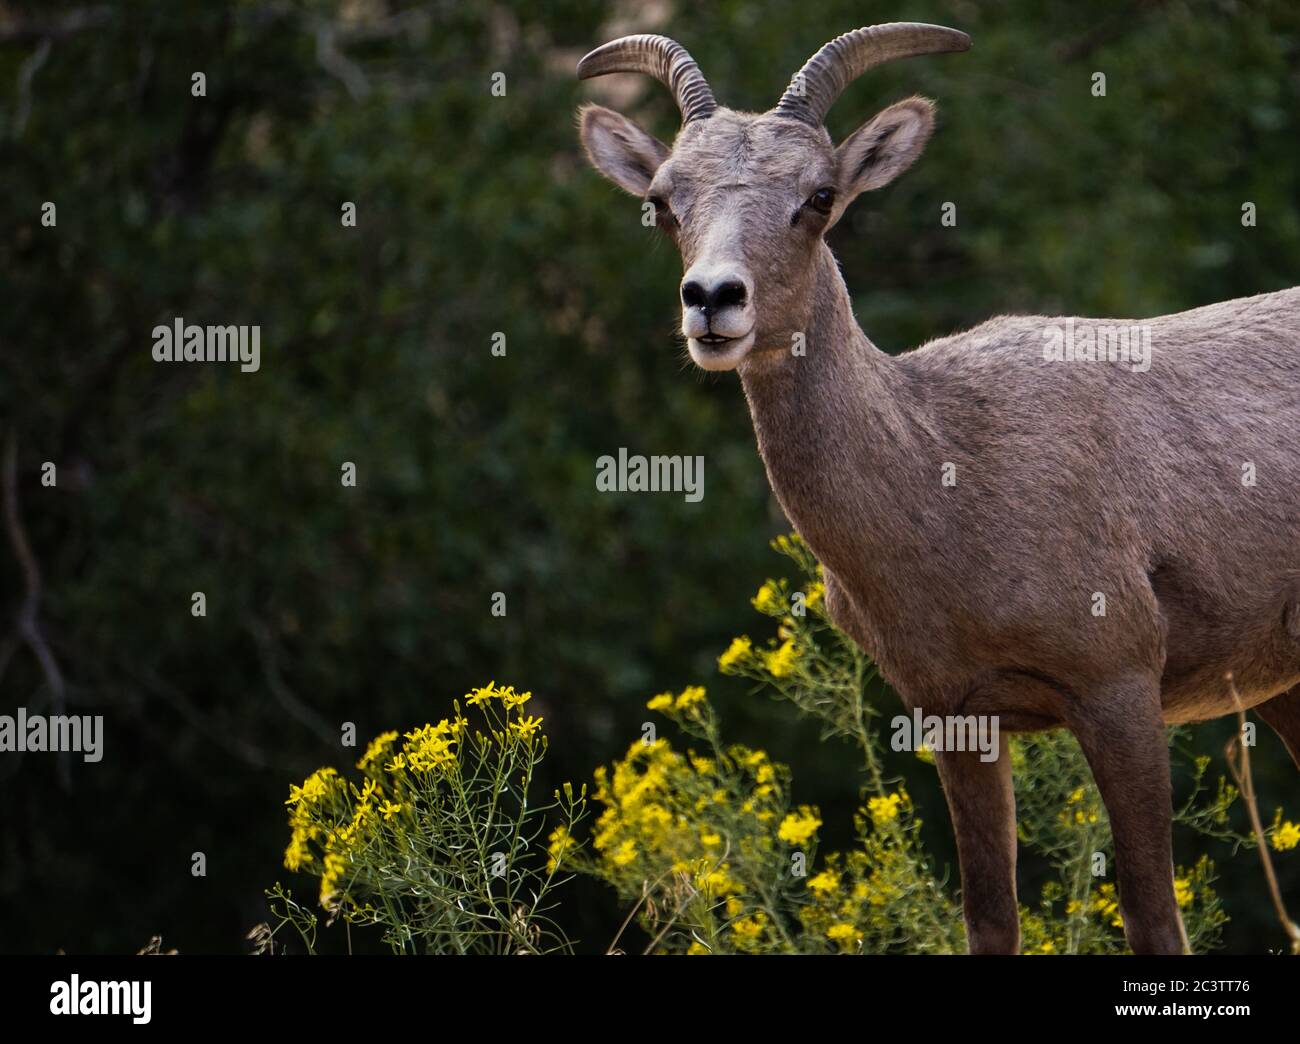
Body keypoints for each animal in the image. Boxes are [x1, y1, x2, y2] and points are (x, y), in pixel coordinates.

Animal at [574, 23, 1300, 954]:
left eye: (819, 195)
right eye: (665, 200)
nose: (713, 300)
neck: (949, 478)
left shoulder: (1120, 687)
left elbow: (1151, 916)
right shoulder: (956, 714)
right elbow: (990, 918)